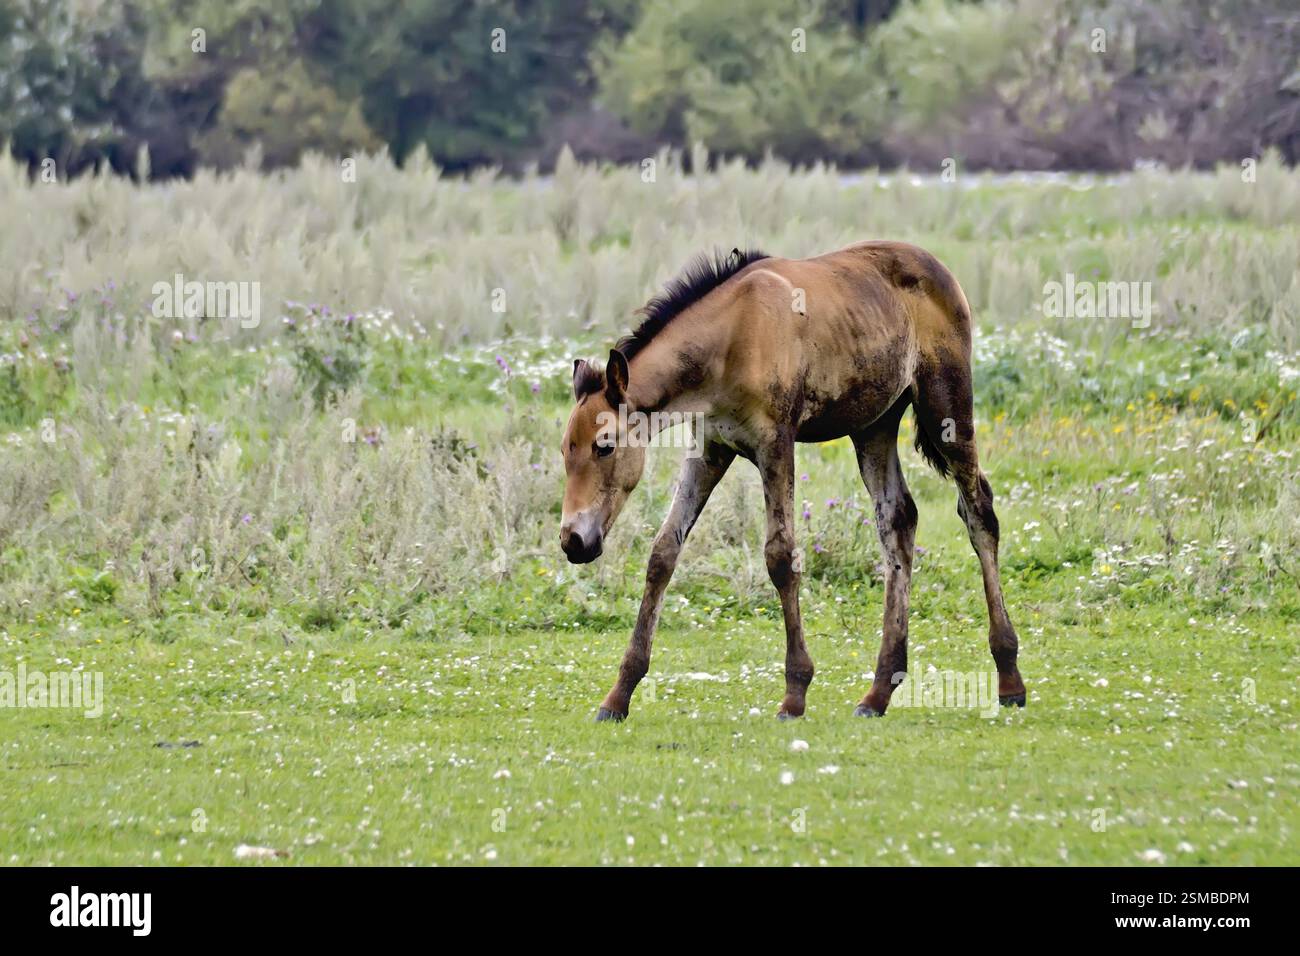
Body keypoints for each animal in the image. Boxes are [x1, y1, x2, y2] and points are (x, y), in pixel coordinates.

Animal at [559, 242, 1026, 721]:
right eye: (564, 450)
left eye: (604, 446)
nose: (574, 541)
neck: (730, 337)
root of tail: (939, 269)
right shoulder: (709, 449)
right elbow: (663, 554)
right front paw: (618, 695)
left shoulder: (776, 445)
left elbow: (781, 557)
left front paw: (795, 693)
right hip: (873, 428)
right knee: (898, 521)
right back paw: (878, 691)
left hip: (946, 408)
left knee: (979, 512)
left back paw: (1009, 676)